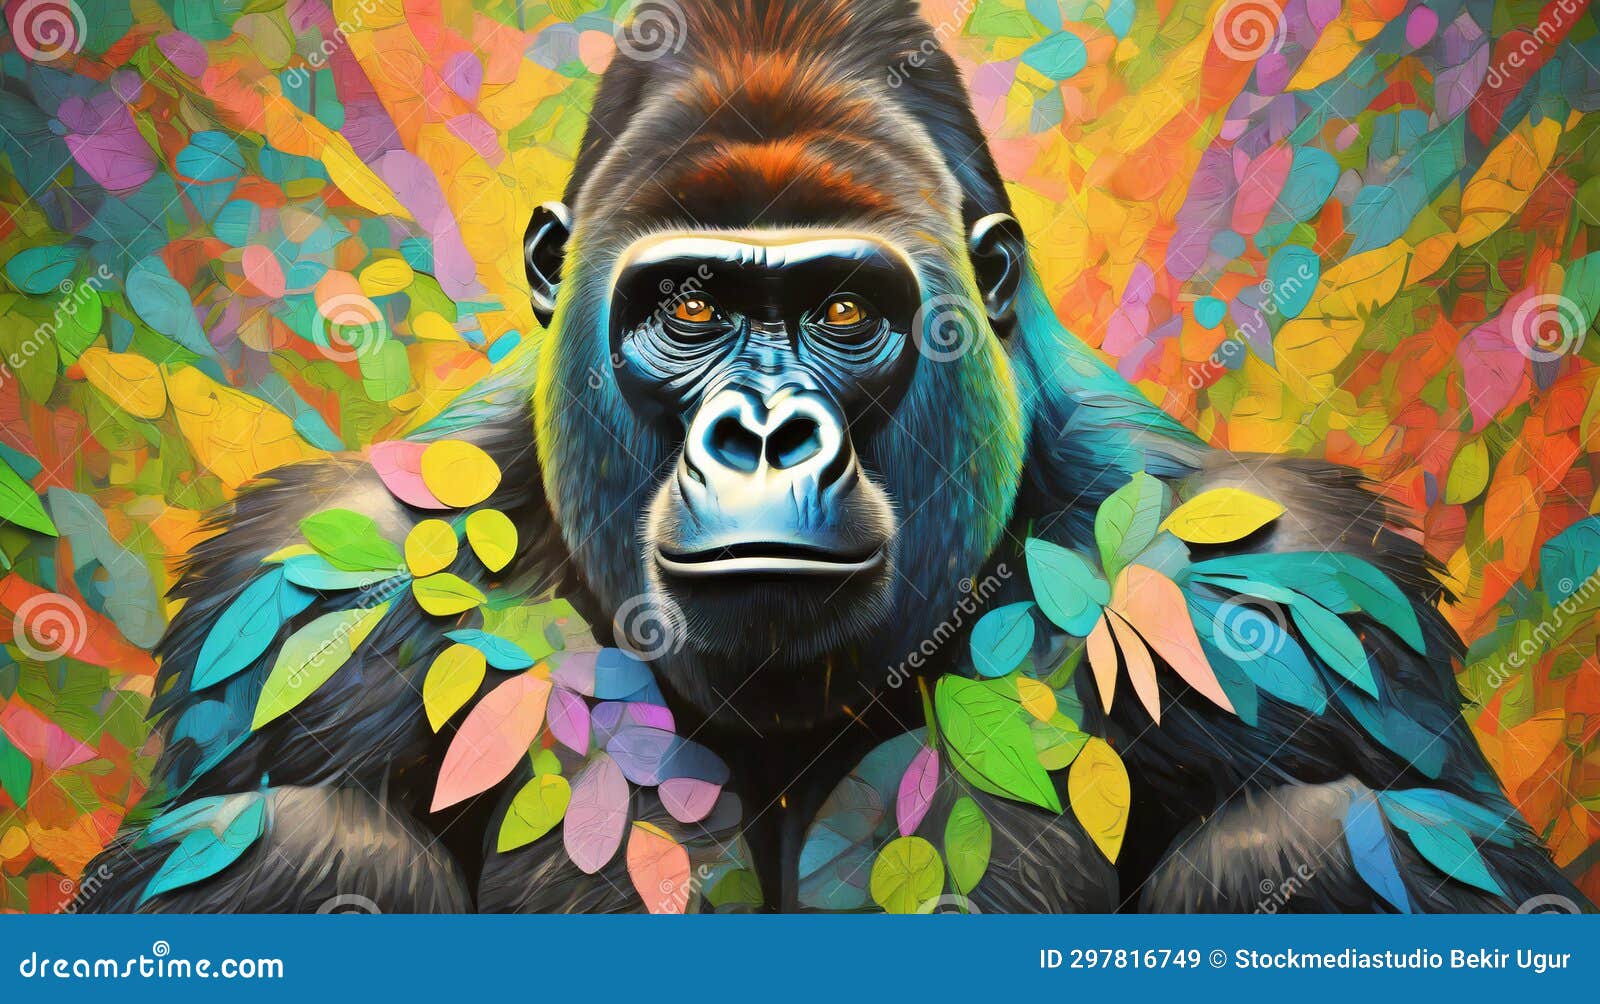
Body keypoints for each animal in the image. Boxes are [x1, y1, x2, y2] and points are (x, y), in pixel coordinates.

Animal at [80, 0, 1587, 914]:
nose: (763, 432)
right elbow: (259, 823)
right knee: (306, 847)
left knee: (1318, 840)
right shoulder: (311, 601)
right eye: (692, 306)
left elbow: (1407, 831)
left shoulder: (1283, 597)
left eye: (846, 313)